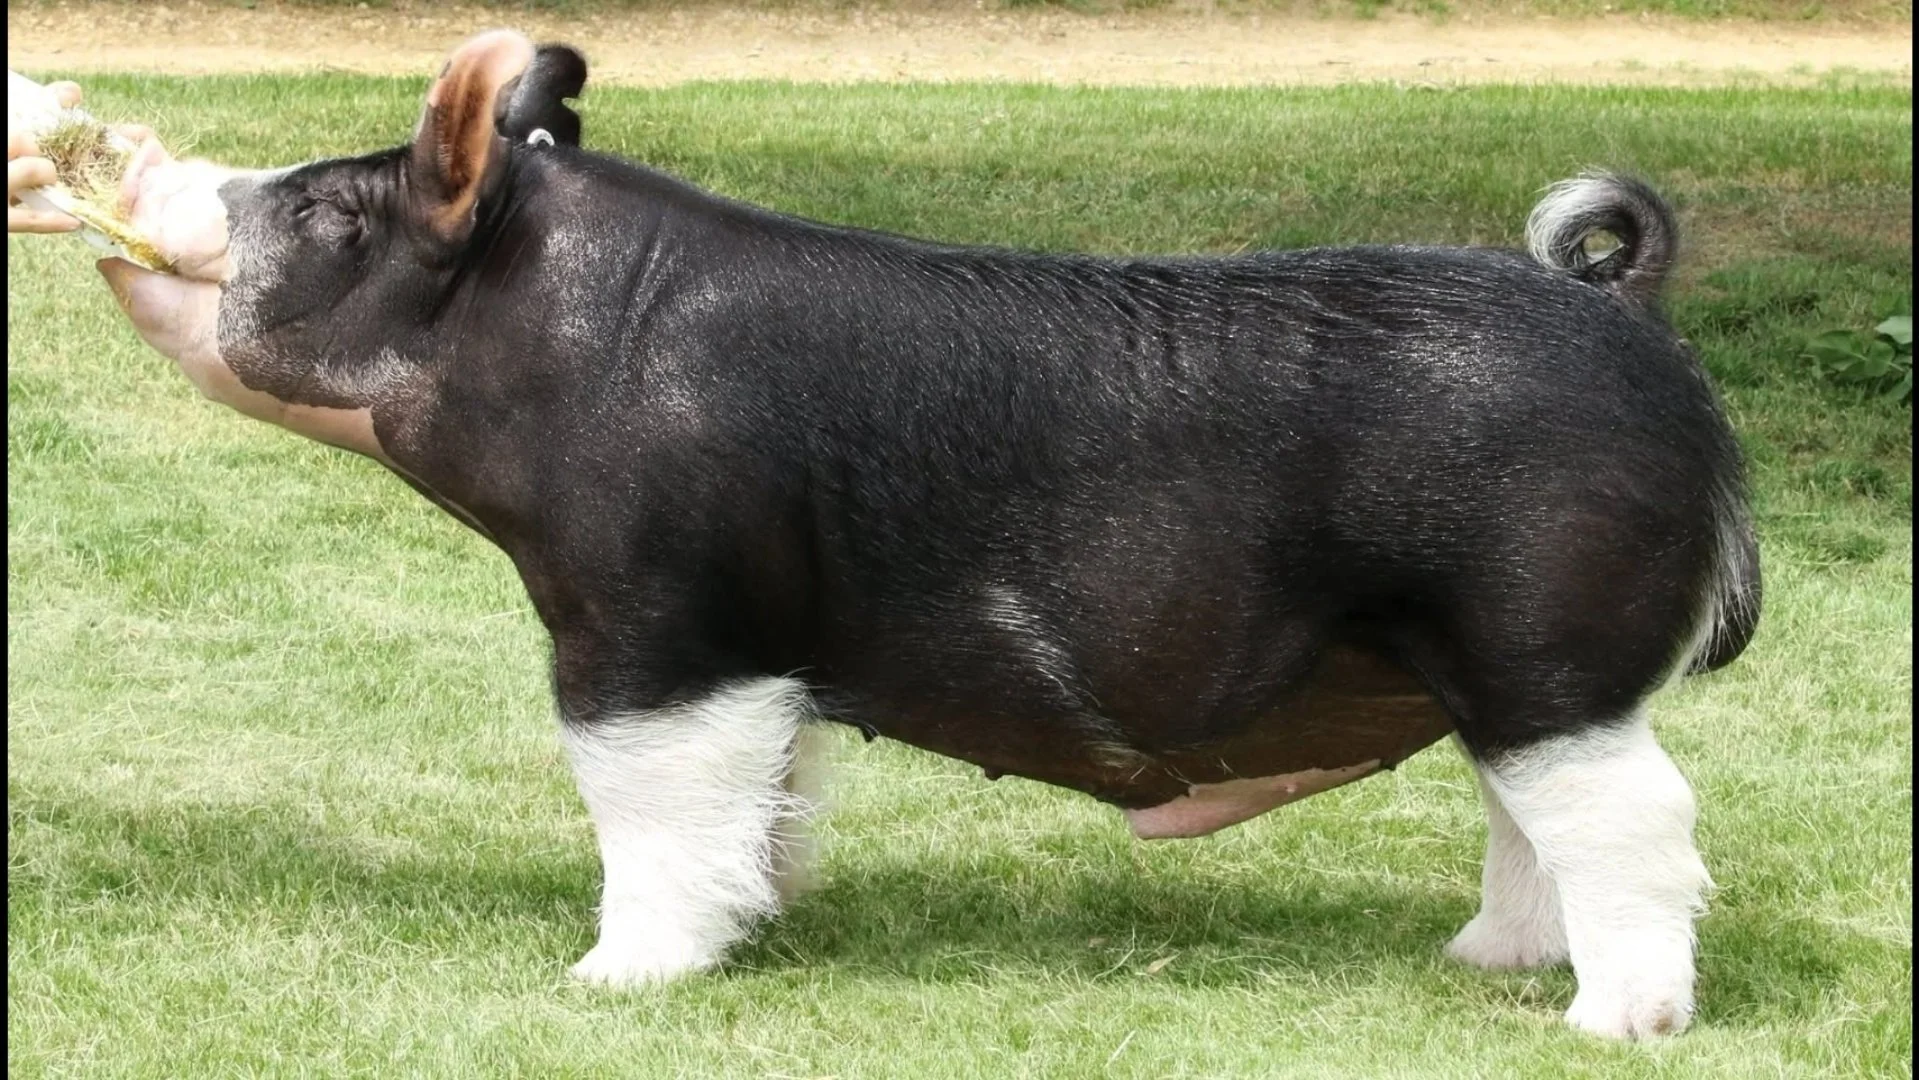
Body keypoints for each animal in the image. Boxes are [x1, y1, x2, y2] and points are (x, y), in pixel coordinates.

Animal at [96, 29, 1759, 1039]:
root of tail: (1623, 310)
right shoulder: (765, 643)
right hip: (1499, 677)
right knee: (1531, 817)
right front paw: (759, 924)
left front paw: (608, 982)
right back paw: (1481, 964)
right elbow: (764, 788)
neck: (565, 341)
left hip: (1547, 638)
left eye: (332, 214)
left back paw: (1612, 1020)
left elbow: (640, 798)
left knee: (1638, 821)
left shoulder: (647, 614)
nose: (146, 163)